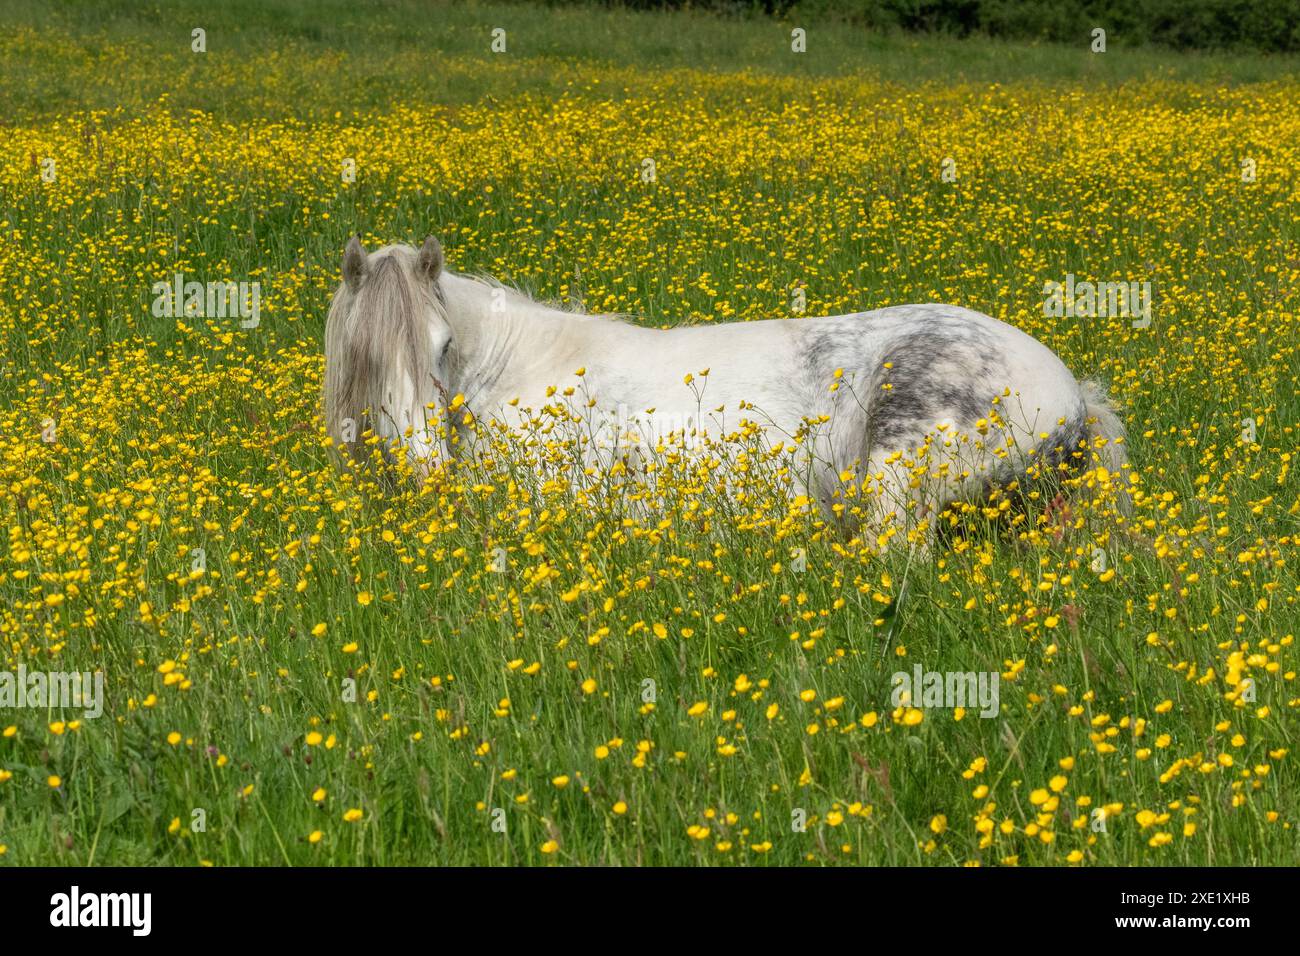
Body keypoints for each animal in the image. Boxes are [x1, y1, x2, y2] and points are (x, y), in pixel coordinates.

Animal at [322, 235, 1131, 539]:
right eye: (362, 359)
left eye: (442, 347)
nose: (423, 470)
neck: (523, 376)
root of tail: (1074, 395)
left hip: (897, 480)